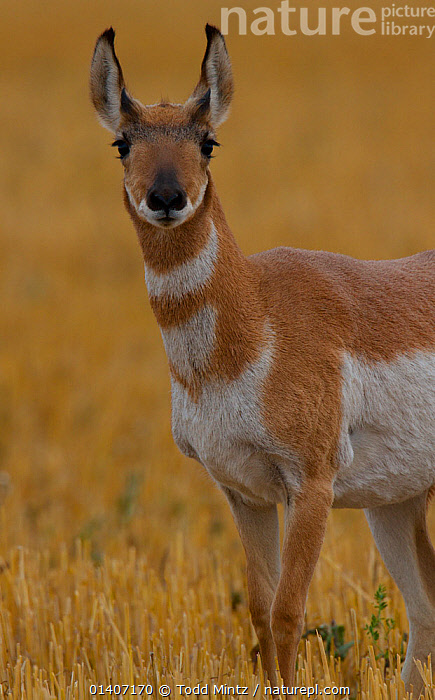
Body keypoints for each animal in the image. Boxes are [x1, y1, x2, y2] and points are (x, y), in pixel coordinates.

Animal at [90, 25, 435, 693]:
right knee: (426, 611)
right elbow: (258, 608)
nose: (166, 196)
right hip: (394, 503)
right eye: (122, 143)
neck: (254, 321)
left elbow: (288, 613)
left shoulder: (312, 486)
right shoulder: (243, 492)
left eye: (208, 141)